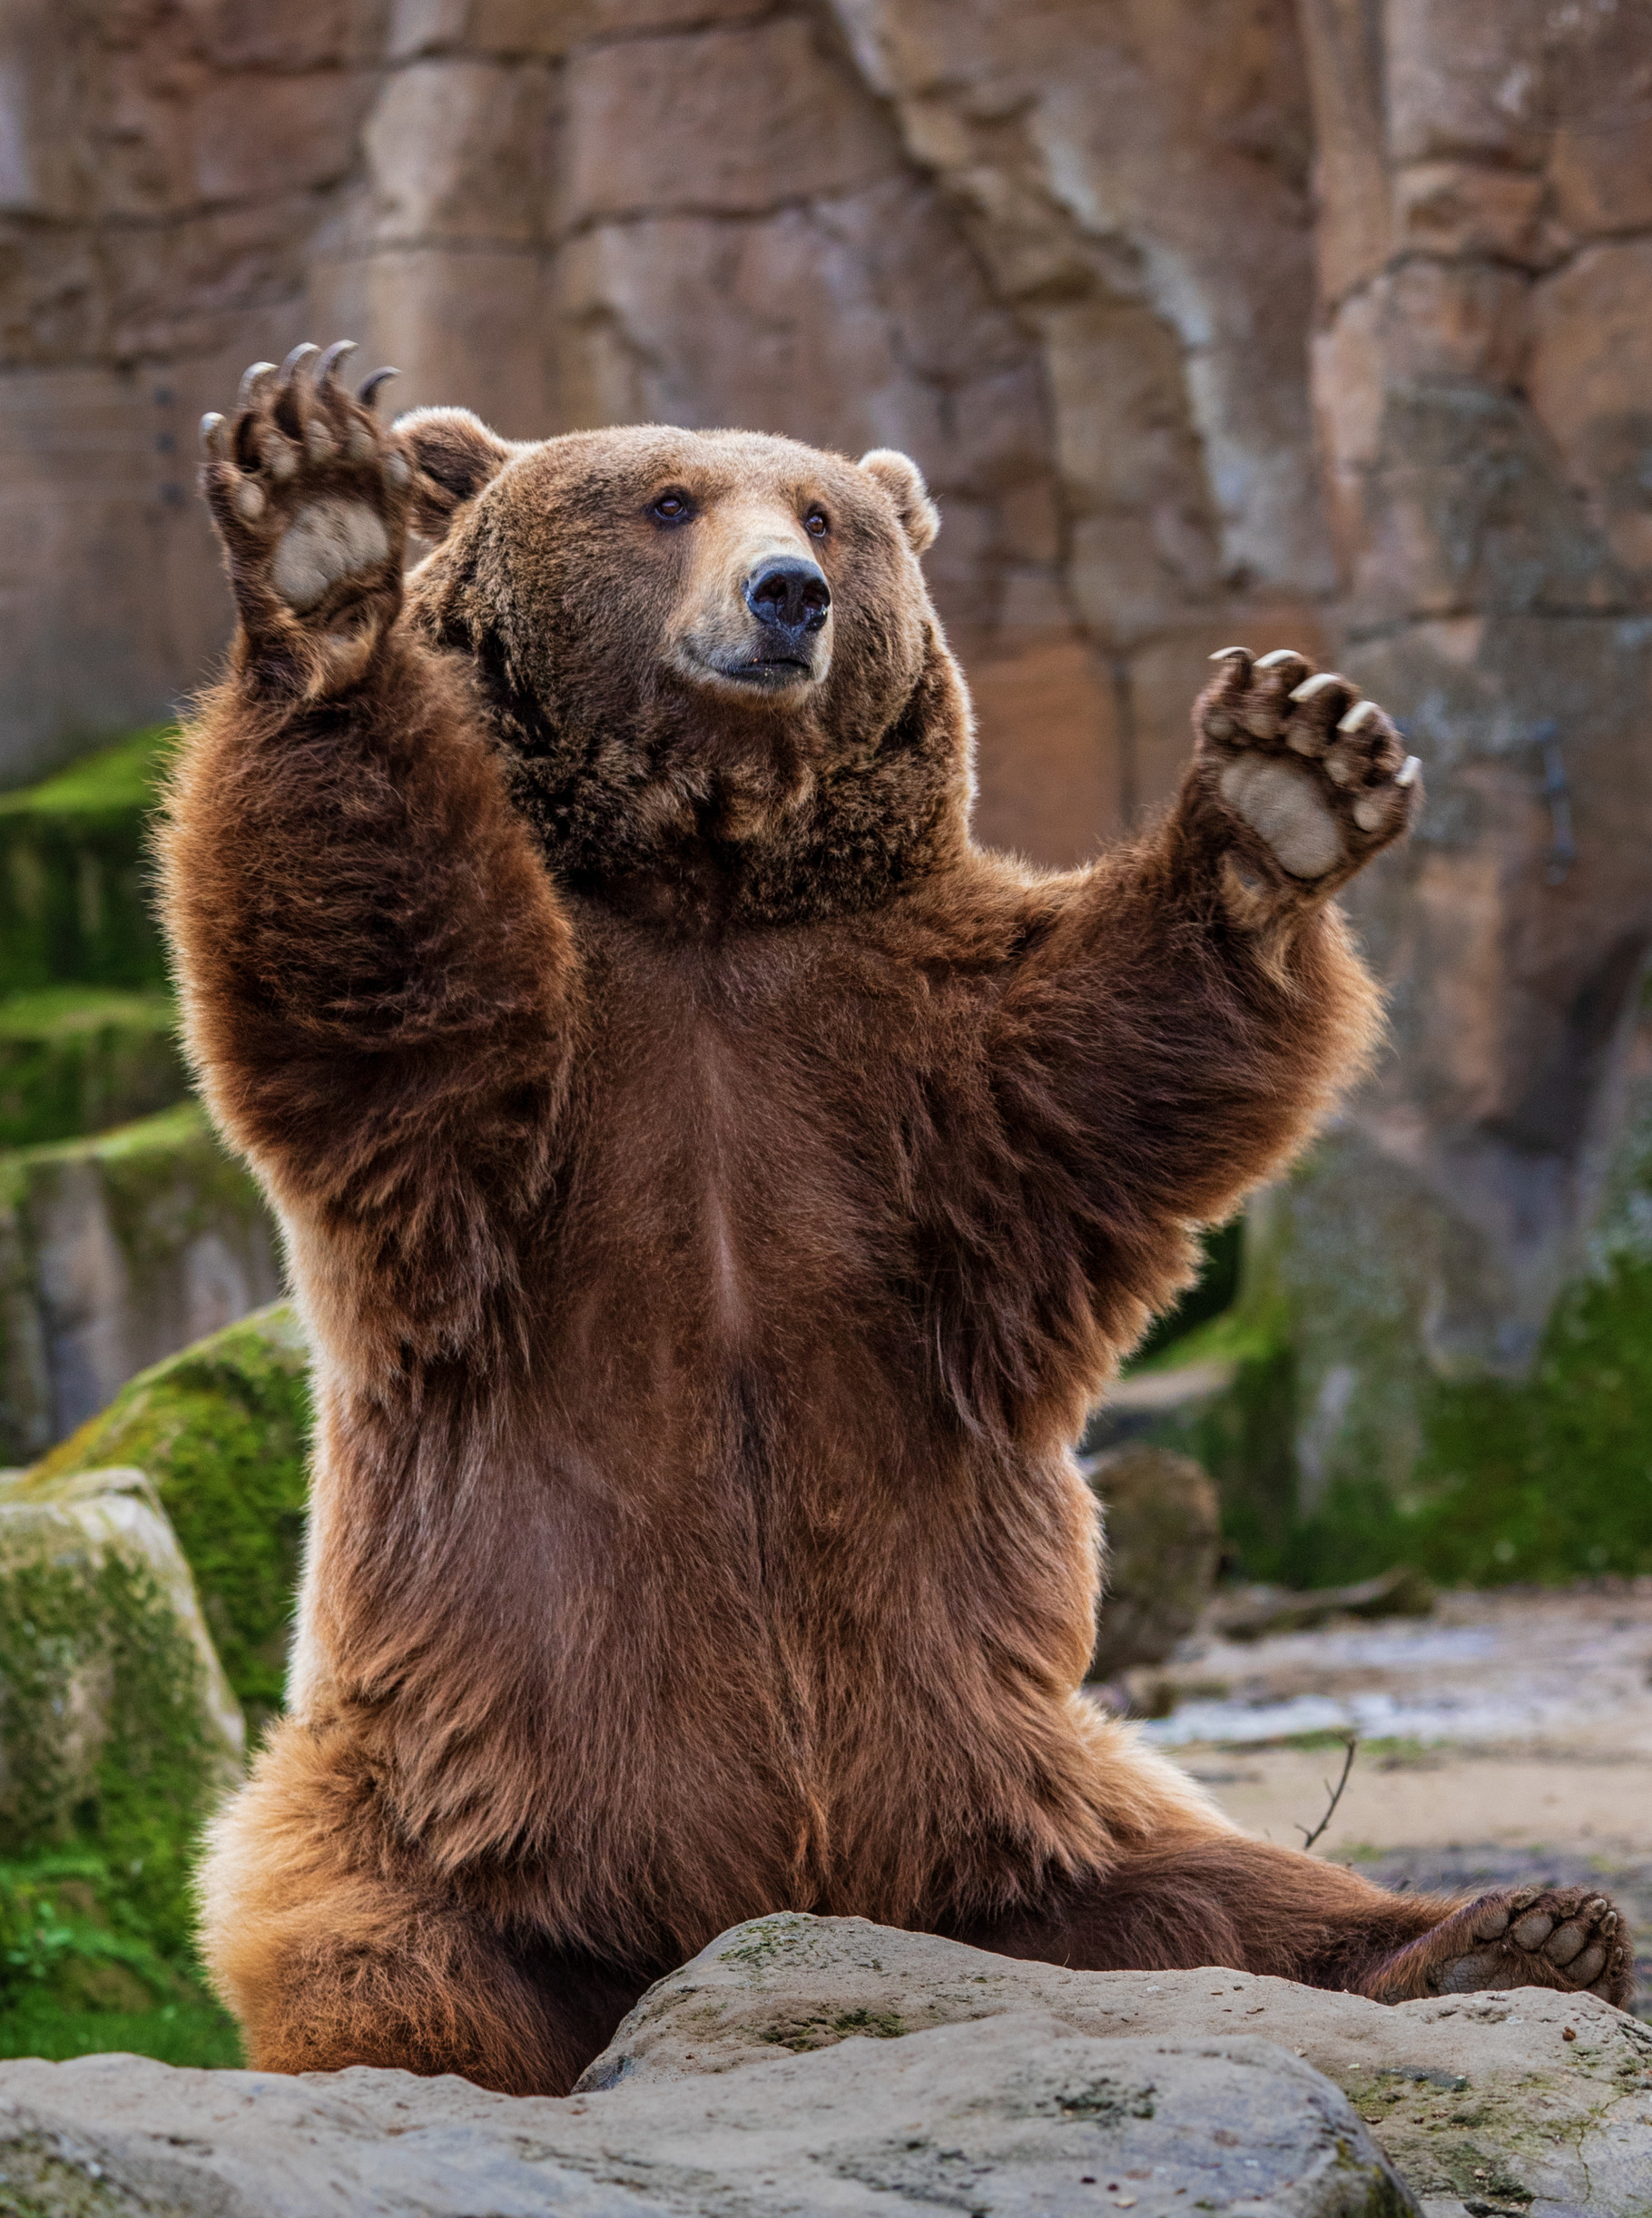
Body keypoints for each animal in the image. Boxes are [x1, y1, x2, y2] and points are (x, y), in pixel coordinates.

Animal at [162, 341, 1633, 2097]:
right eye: (666, 499)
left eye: (822, 515)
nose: (786, 594)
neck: (707, 891)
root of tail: (780, 1911)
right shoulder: (536, 1110)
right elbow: (379, 953)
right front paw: (321, 534)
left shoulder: (911, 1058)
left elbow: (1111, 1057)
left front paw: (1286, 784)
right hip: (449, 1786)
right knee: (386, 1956)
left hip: (1016, 1793)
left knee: (1224, 1892)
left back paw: (1507, 1932)